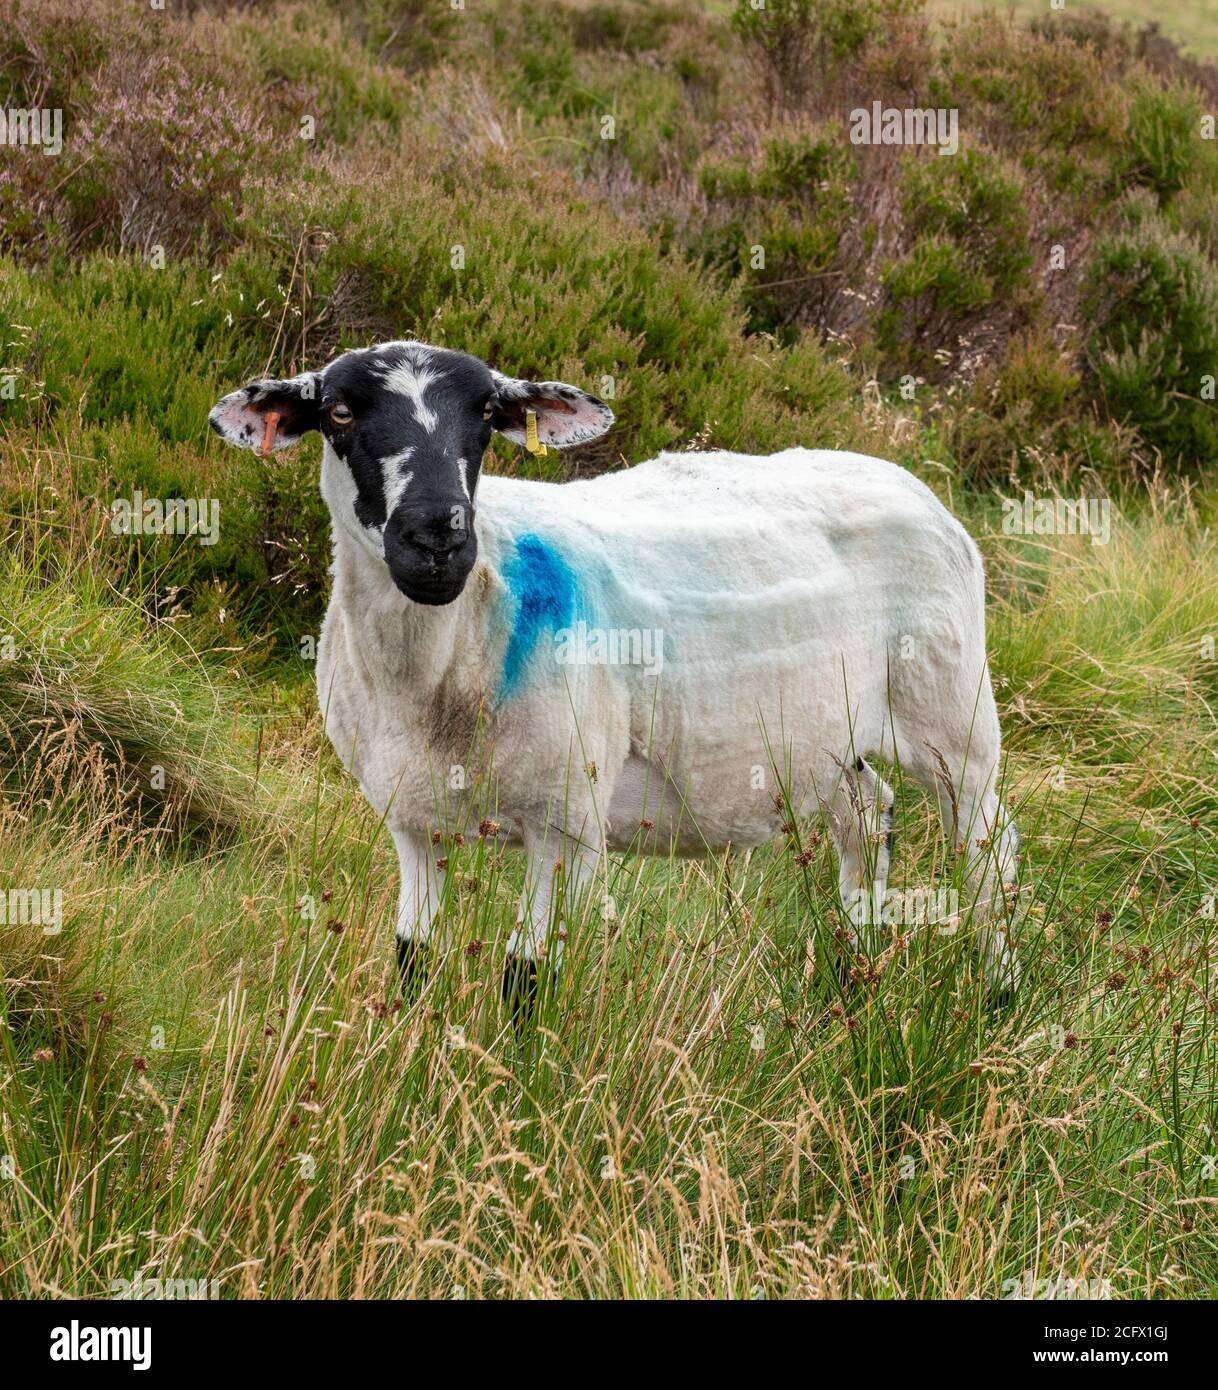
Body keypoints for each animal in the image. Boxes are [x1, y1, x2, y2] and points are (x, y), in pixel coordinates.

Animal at [210, 339, 1020, 1005]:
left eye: (486, 416)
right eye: (340, 412)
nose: (438, 537)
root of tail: (911, 483)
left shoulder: (566, 818)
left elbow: (527, 977)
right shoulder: (410, 819)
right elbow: (414, 958)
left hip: (952, 718)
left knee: (988, 846)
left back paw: (997, 989)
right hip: (830, 739)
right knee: (867, 815)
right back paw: (853, 970)